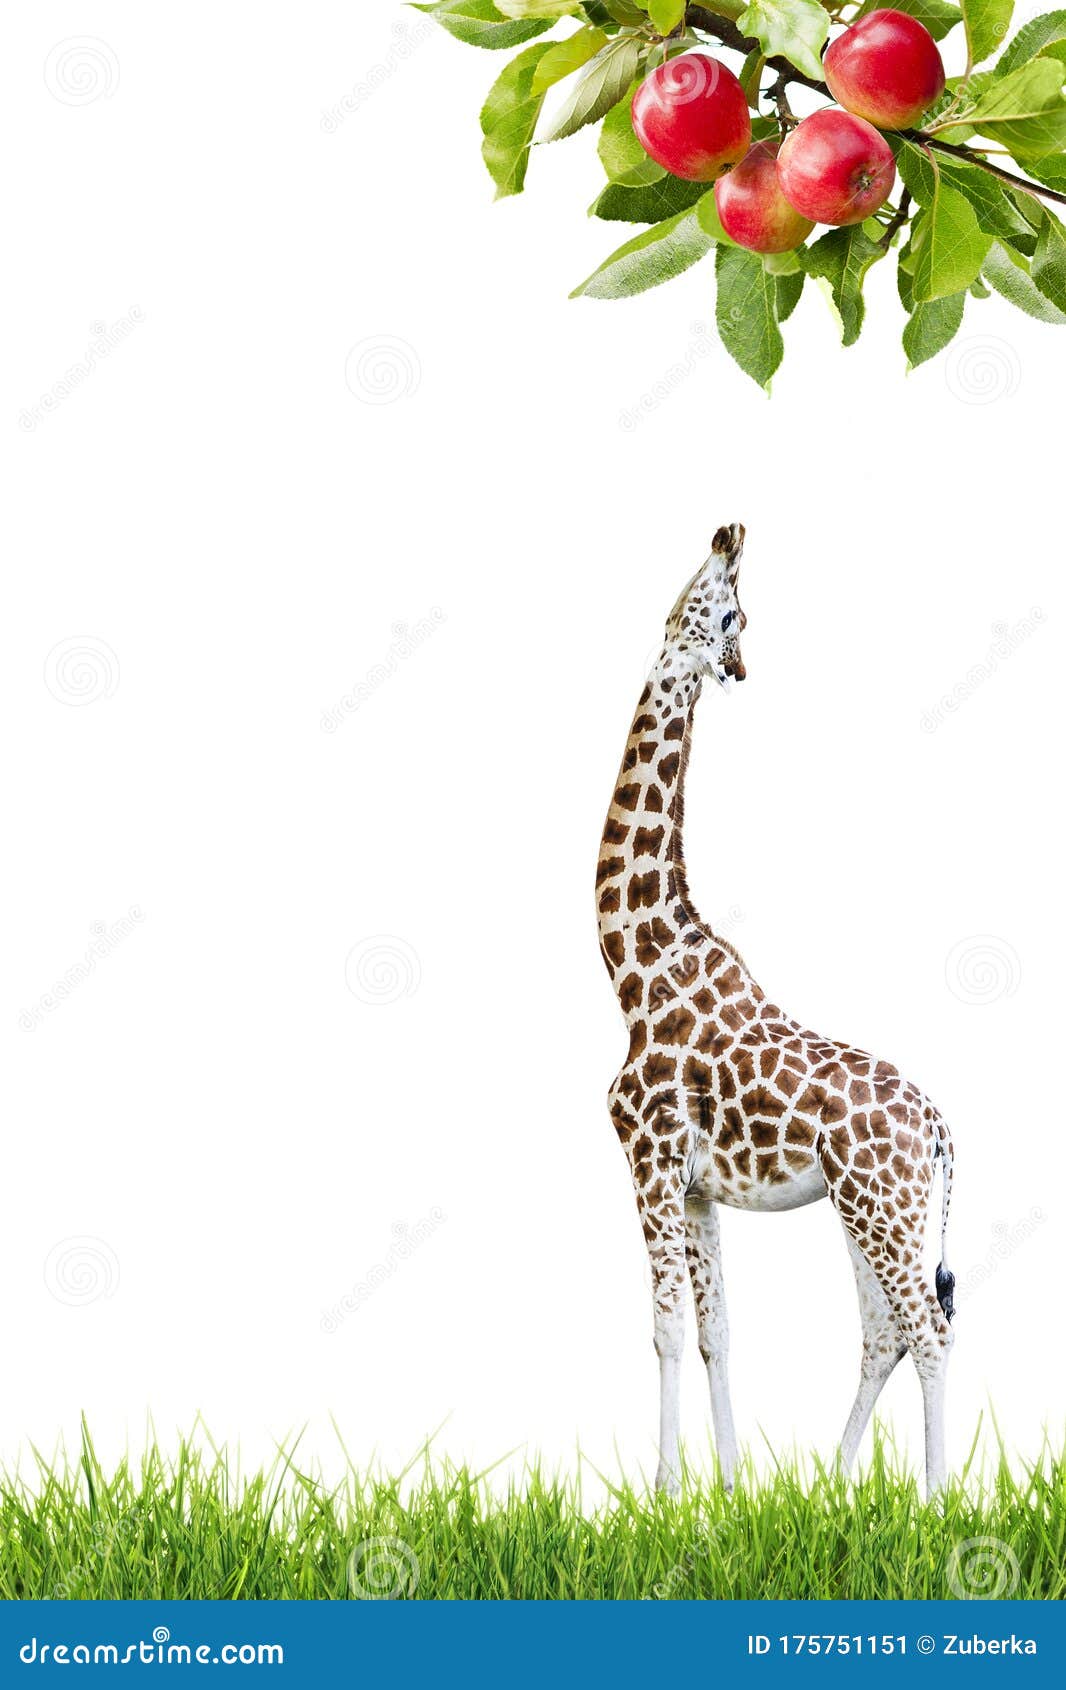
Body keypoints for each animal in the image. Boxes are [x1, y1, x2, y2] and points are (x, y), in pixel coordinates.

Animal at [597, 523, 956, 1500]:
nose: (739, 665)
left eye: (732, 613)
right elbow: (716, 1332)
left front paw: (664, 1496)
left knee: (930, 1330)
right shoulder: (696, 1186)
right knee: (886, 1333)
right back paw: (833, 1487)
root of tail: (942, 1132)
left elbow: (665, 1327)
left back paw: (939, 1503)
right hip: (870, 1210)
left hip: (881, 1209)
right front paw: (726, 1495)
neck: (635, 967)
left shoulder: (648, 1158)